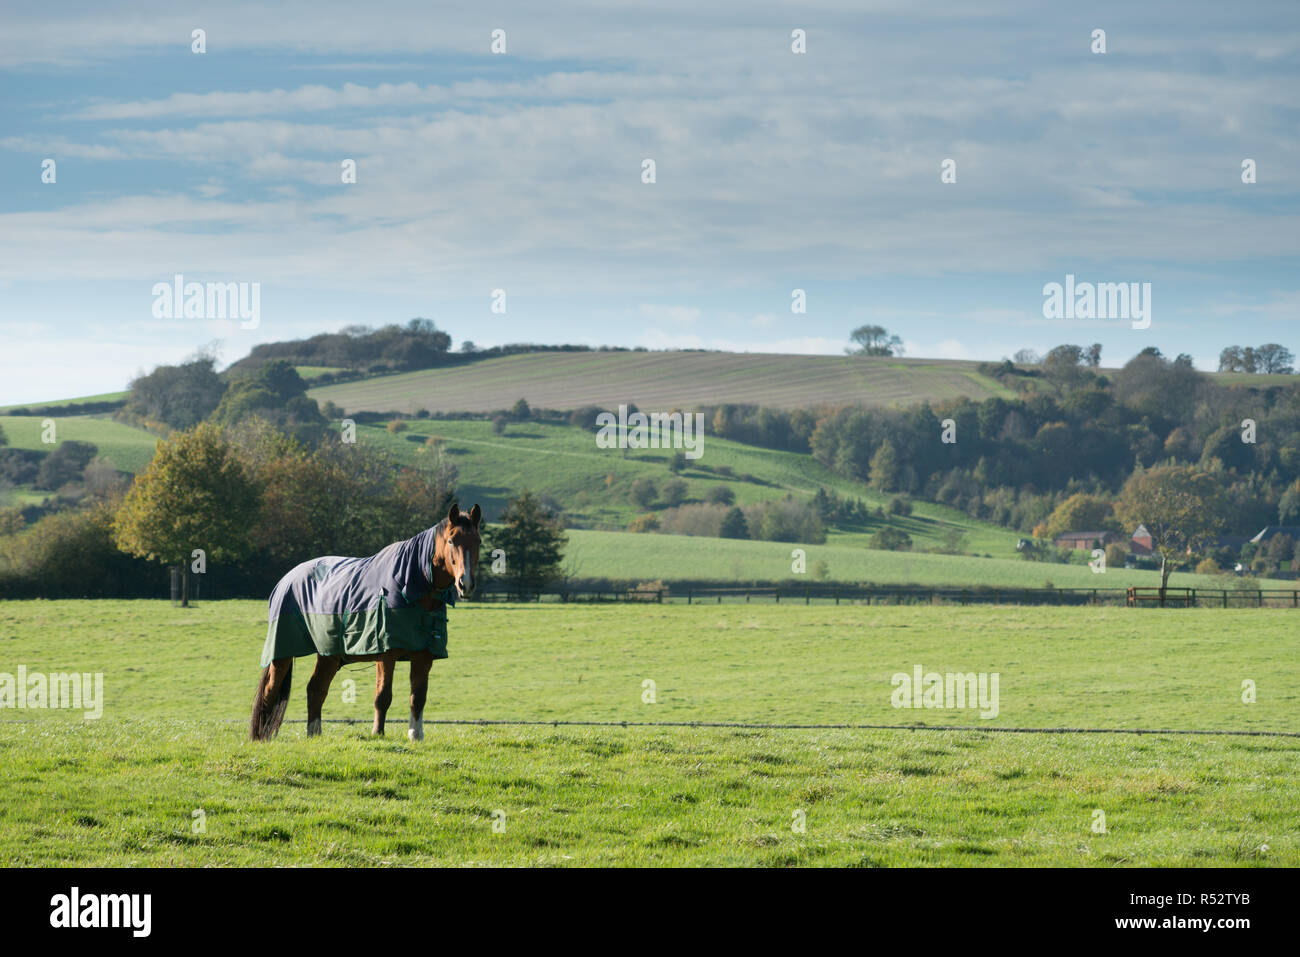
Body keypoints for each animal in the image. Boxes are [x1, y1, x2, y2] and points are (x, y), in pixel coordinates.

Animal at [249, 503, 482, 742]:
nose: (466, 584)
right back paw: (260, 737)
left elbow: (418, 698)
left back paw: (314, 734)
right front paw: (378, 732)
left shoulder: (424, 655)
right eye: (452, 540)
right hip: (282, 652)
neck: (410, 584)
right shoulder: (386, 653)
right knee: (271, 690)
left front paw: (415, 735)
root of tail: (285, 579)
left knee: (315, 689)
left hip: (328, 654)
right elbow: (383, 696)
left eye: (478, 541)